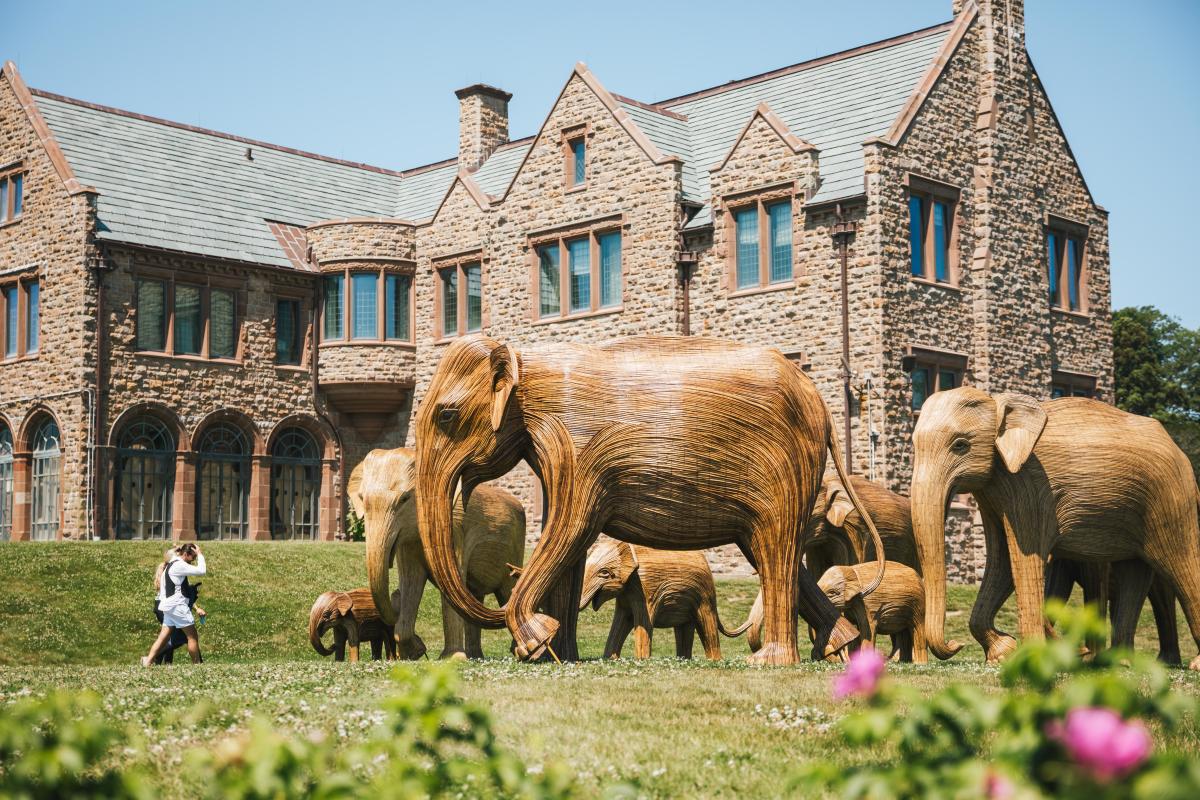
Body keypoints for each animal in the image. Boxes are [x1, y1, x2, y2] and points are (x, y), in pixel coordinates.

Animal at [351, 447, 525, 660]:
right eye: (361, 499)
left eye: (404, 499)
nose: (395, 594)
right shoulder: (408, 540)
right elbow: (411, 581)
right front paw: (415, 652)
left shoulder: (454, 529)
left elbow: (450, 583)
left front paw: (453, 659)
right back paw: (476, 657)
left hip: (514, 550)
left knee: (508, 591)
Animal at [579, 539, 747, 660]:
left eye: (604, 573)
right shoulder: (626, 594)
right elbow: (620, 621)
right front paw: (609, 659)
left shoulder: (645, 588)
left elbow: (644, 620)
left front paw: (642, 661)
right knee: (684, 626)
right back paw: (683, 660)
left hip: (704, 597)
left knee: (706, 622)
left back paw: (714, 661)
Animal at [910, 387, 1200, 669]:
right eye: (914, 445)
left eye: (960, 445)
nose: (955, 644)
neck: (997, 401)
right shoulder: (995, 491)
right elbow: (1000, 560)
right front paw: (1002, 655)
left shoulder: (1031, 488)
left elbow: (1022, 558)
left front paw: (1031, 660)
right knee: (1135, 573)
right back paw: (1119, 663)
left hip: (1170, 500)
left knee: (1180, 564)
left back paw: (1189, 665)